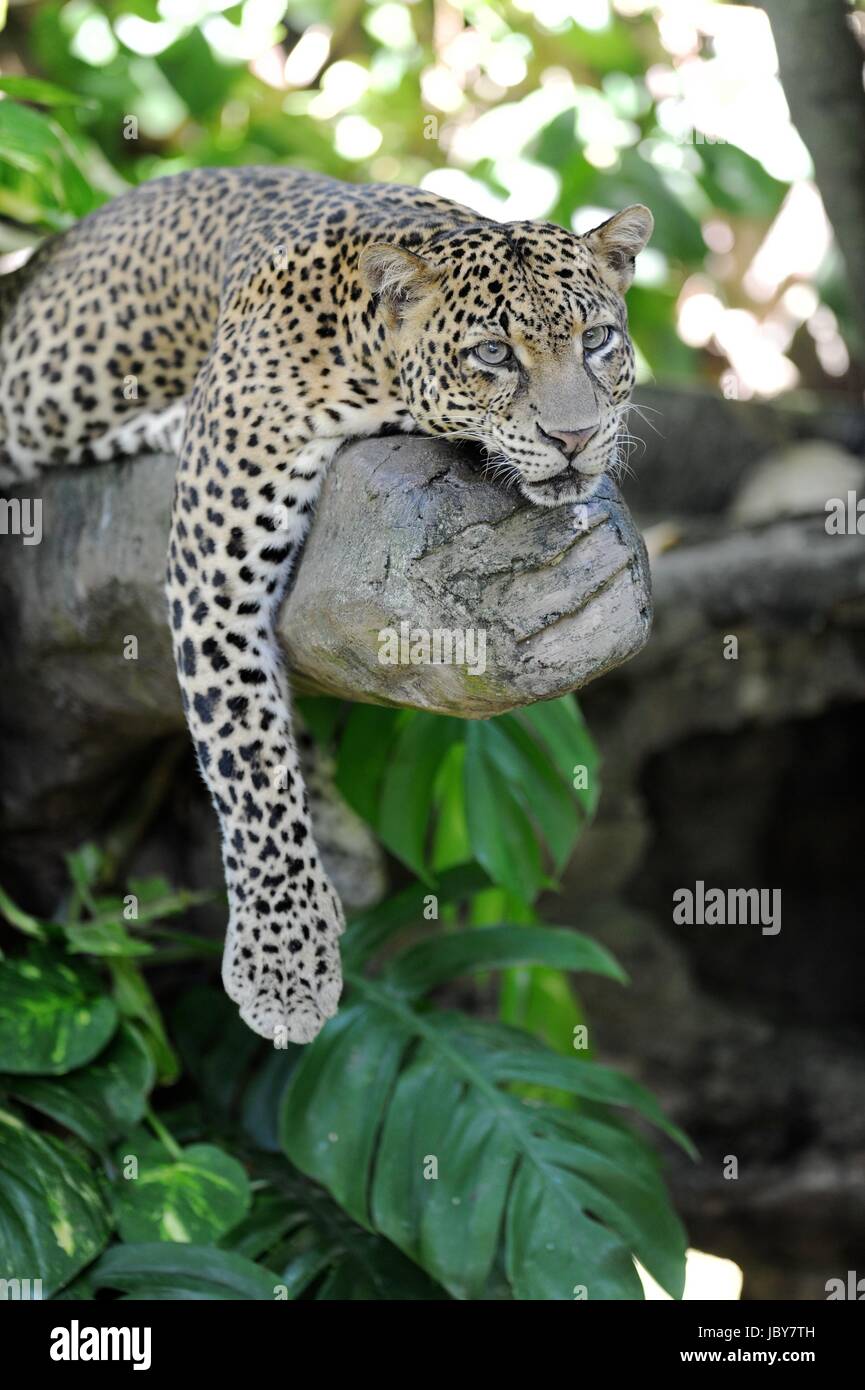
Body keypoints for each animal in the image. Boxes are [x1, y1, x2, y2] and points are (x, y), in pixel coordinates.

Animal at [0, 166, 653, 1045]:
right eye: (493, 354)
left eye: (595, 341)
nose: (575, 439)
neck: (370, 359)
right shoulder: (214, 576)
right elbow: (246, 753)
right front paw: (284, 966)